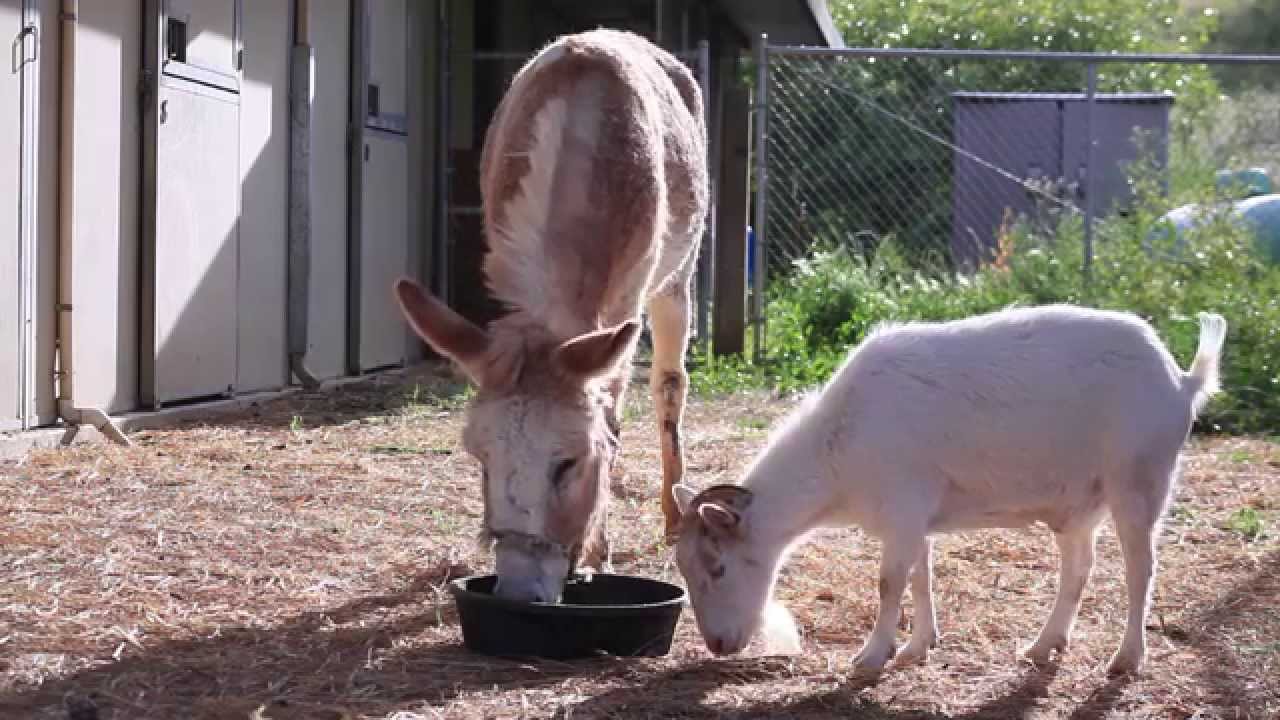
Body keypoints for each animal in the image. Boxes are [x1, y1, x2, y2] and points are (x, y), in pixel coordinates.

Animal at [673, 304, 1227, 675]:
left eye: (718, 567)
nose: (718, 644)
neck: (839, 445)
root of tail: (1182, 381)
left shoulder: (903, 506)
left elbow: (890, 582)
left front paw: (871, 657)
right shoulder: (915, 518)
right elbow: (921, 576)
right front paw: (918, 648)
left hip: (1139, 478)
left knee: (1140, 569)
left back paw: (1125, 659)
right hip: (1081, 502)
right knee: (1078, 568)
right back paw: (1042, 646)